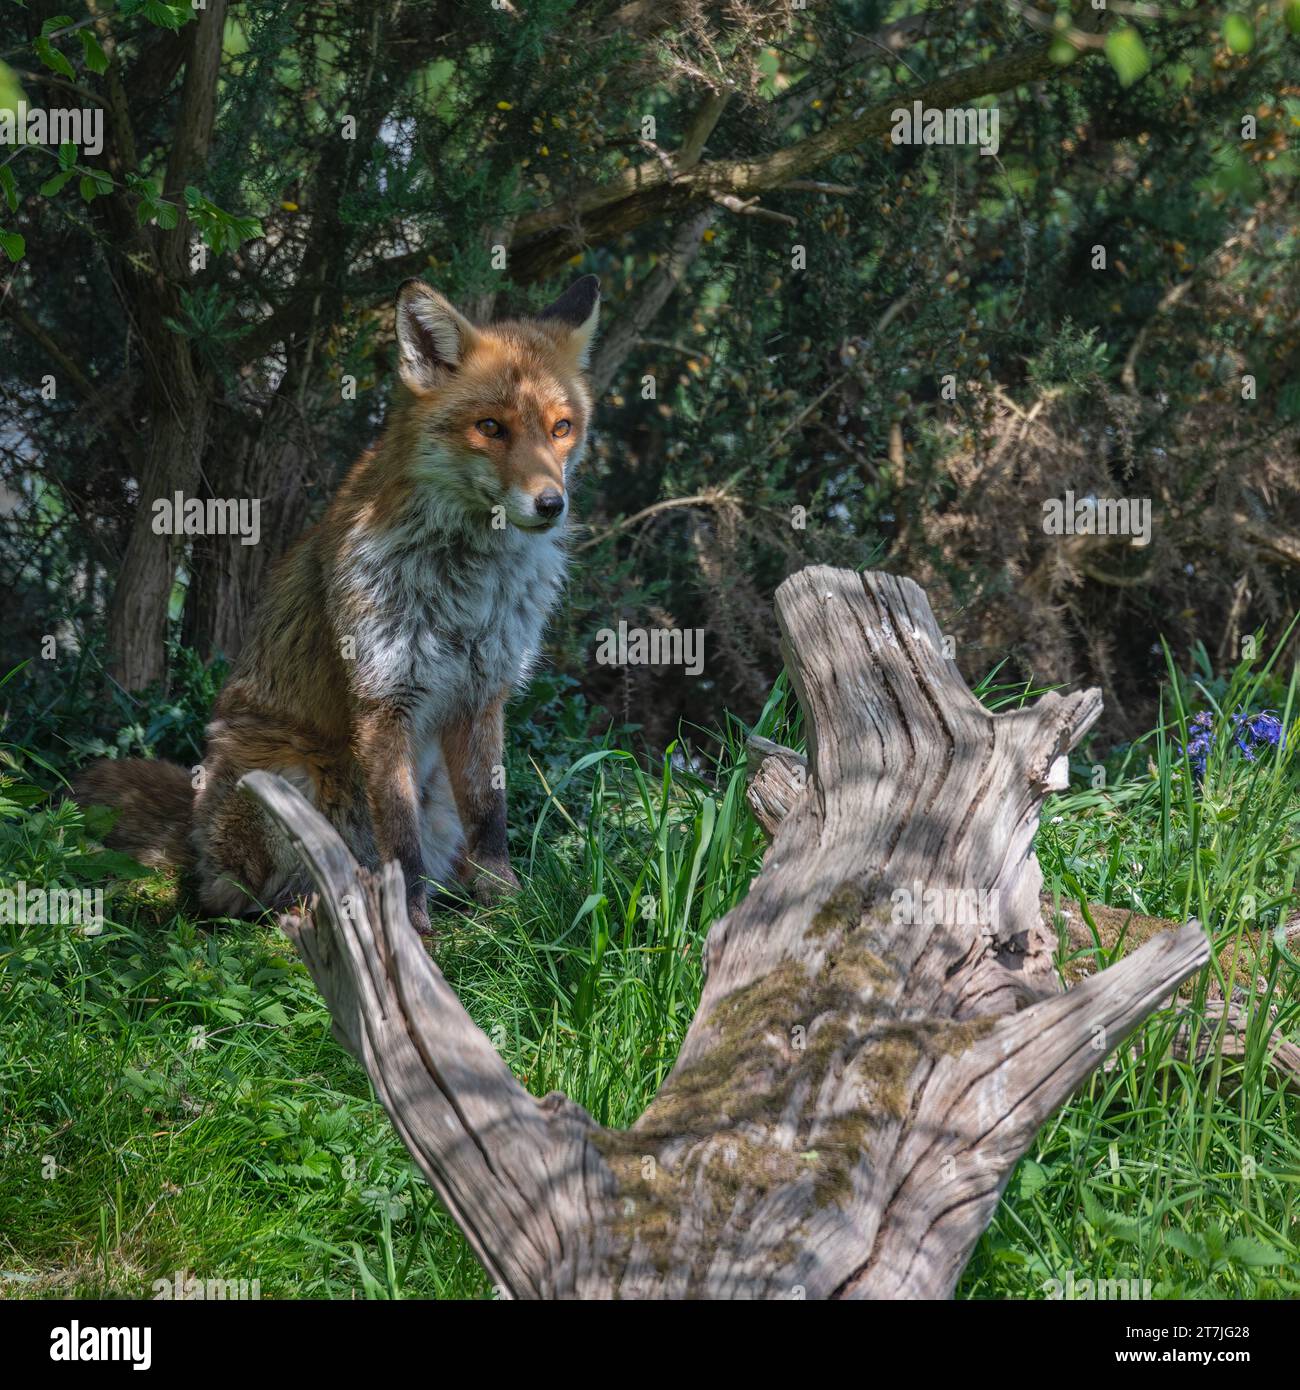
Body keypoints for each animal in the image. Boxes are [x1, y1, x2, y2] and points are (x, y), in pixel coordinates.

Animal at [75, 274, 601, 936]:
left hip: (435, 803)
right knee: (238, 898)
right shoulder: (384, 696)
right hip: (288, 779)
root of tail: (195, 822)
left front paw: (505, 905)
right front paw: (410, 924)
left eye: (561, 428)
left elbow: (491, 814)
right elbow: (397, 836)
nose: (552, 503)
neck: (469, 590)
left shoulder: (484, 693)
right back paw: (314, 907)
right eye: (490, 426)